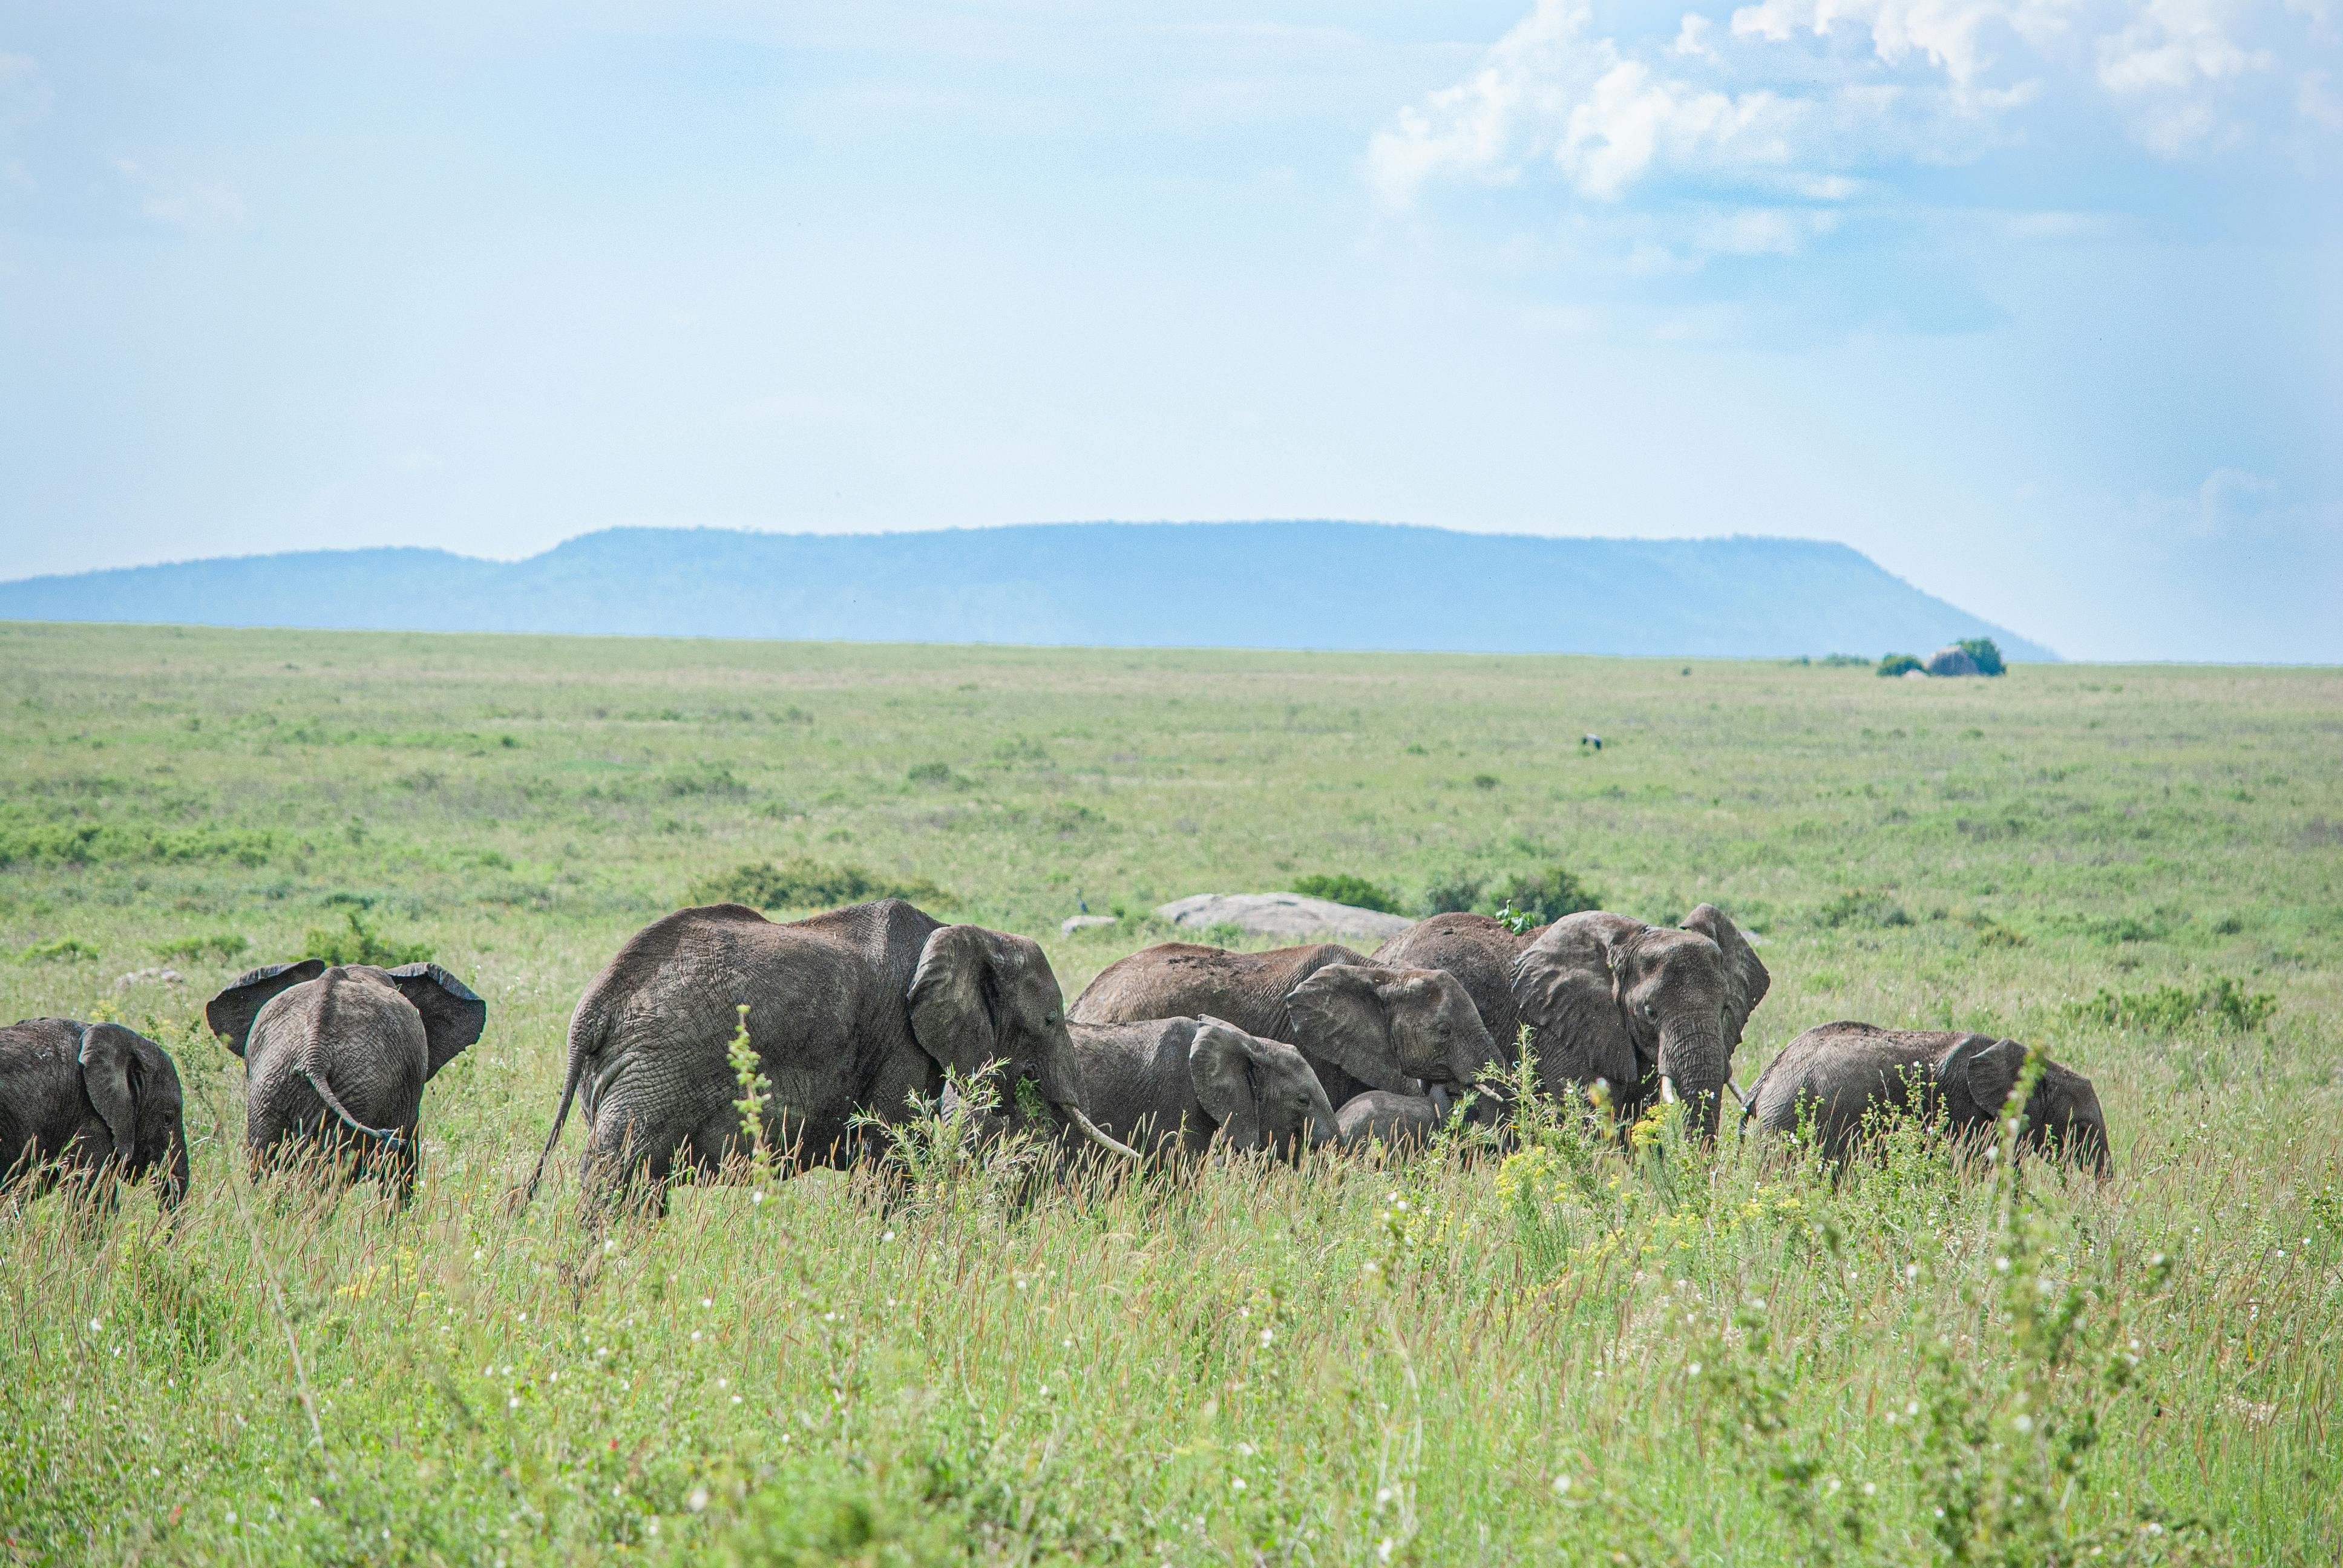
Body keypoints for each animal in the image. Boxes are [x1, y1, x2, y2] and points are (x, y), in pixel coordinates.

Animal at [206, 958, 486, 1203]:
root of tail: (314, 1050)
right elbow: (403, 1167)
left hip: (274, 1084)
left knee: (264, 1164)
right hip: (352, 1090)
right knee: (327, 1177)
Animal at [524, 899, 1133, 1208]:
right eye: (1050, 1020)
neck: (969, 934)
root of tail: (592, 1008)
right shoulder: (898, 1042)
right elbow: (894, 1152)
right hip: (656, 1069)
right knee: (619, 1167)